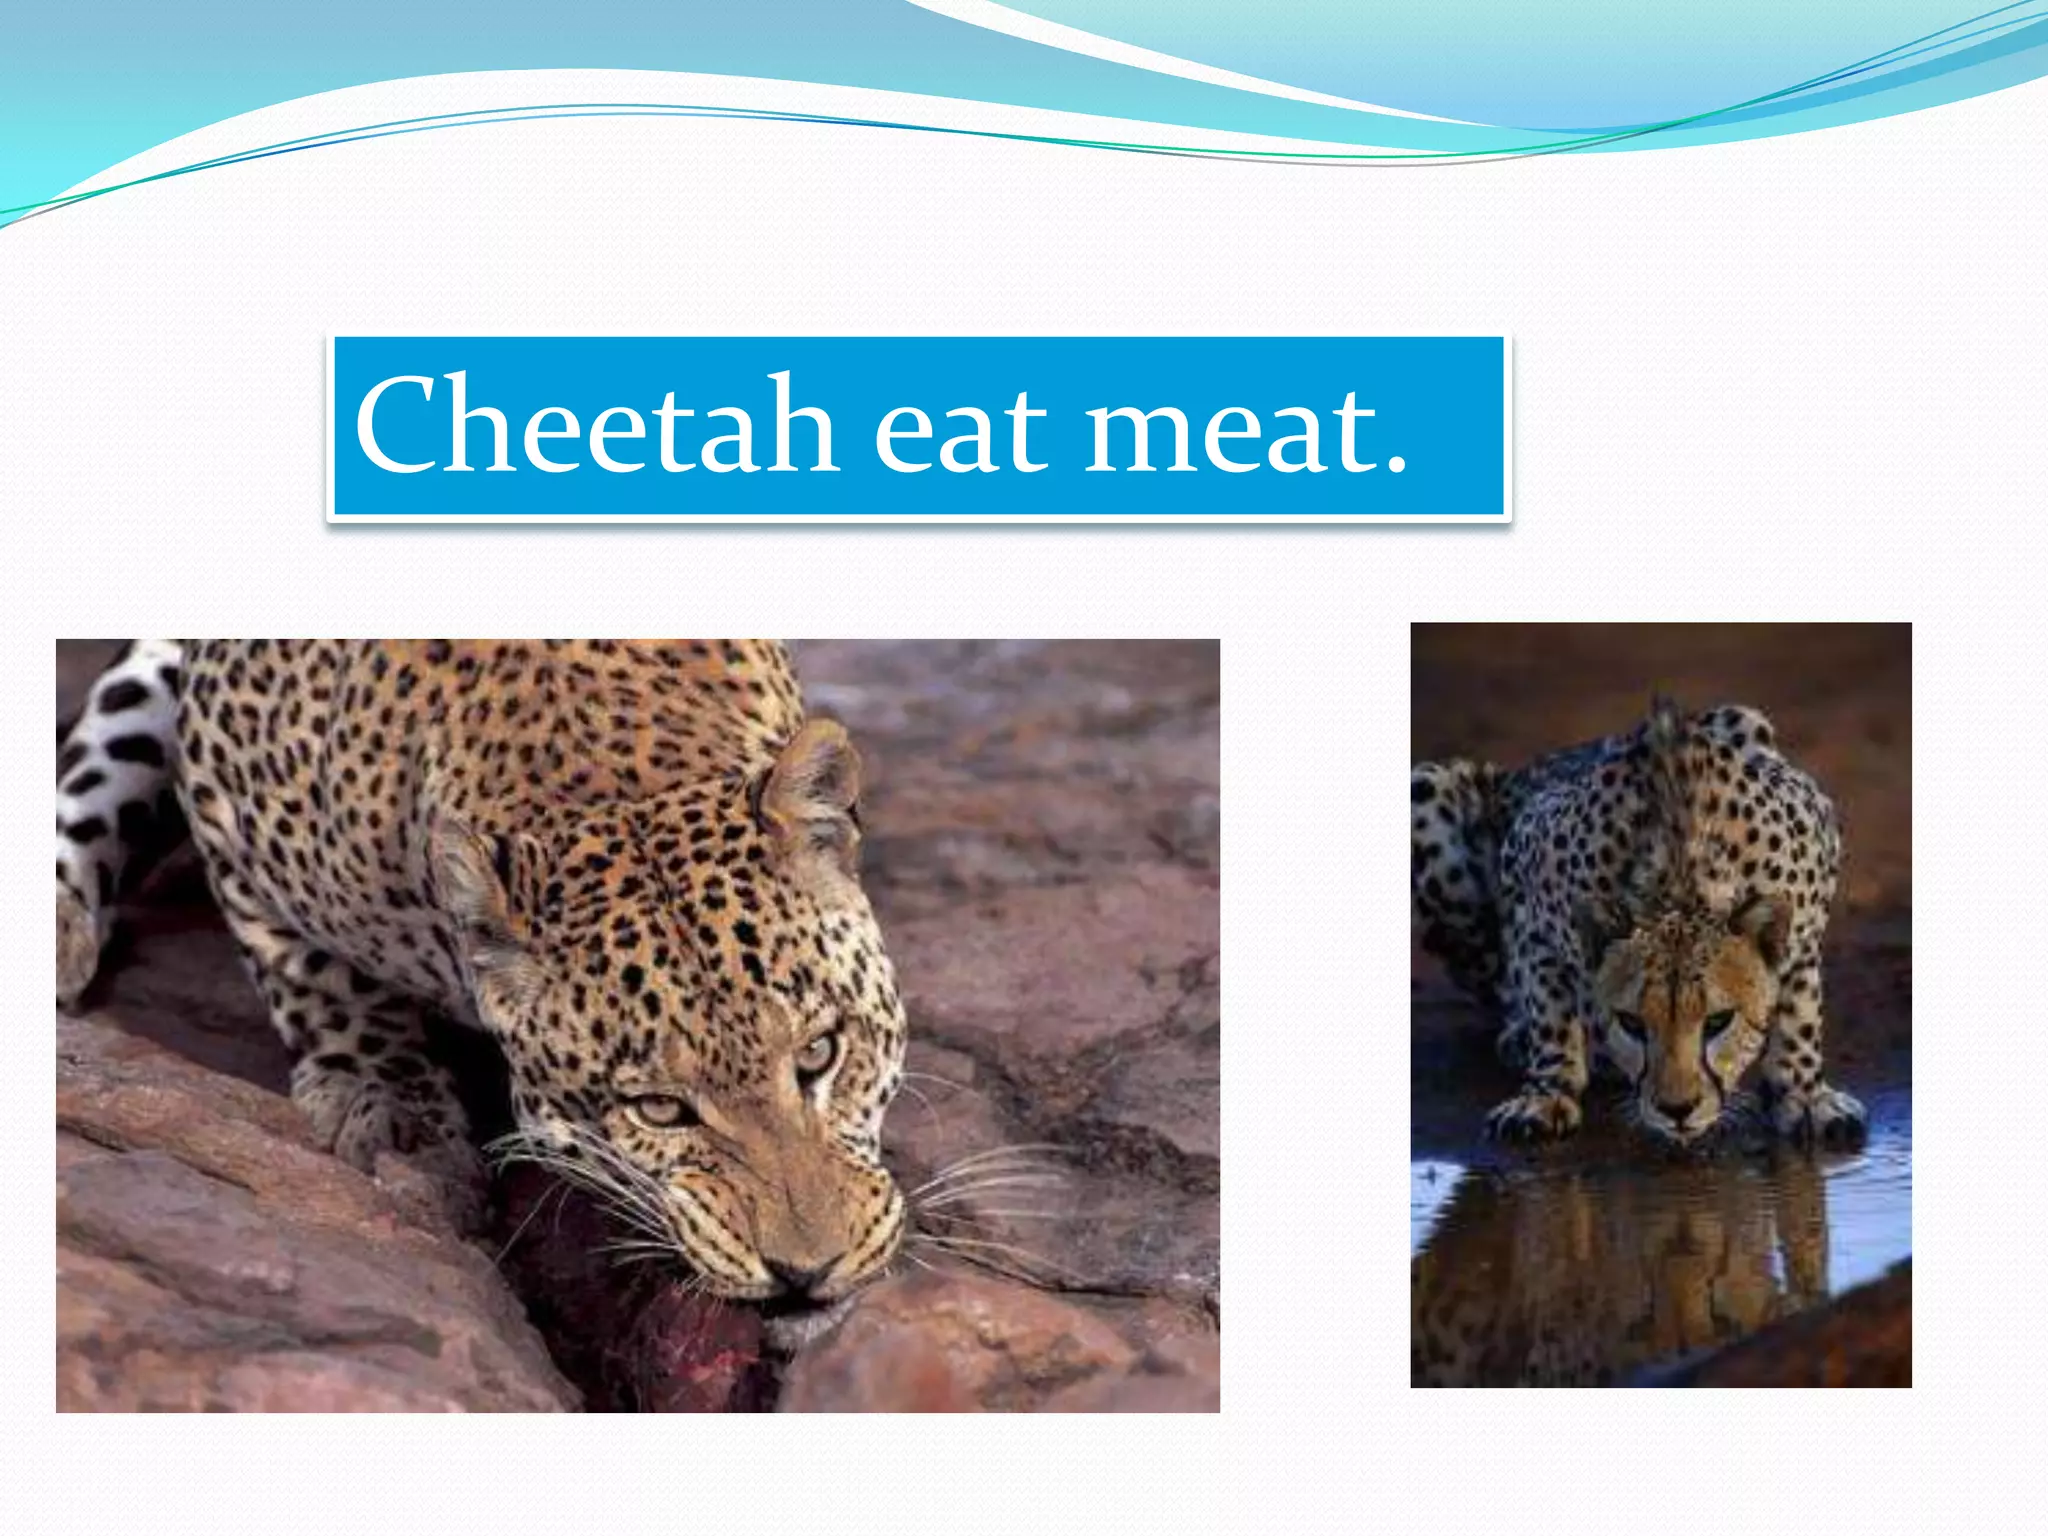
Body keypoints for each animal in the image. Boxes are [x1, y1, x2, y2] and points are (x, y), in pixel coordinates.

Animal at [56, 640, 910, 1345]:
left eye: (821, 1054)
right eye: (659, 1110)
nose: (808, 1271)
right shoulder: (222, 793)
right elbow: (310, 972)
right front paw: (391, 1104)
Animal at [1412, 695, 1867, 1150]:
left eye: (1718, 1022)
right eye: (1631, 1023)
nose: (1677, 1110)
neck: (1682, 875)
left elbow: (1800, 1009)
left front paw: (1803, 1093)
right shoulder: (1524, 872)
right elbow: (1548, 1007)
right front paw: (1546, 1093)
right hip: (1425, 788)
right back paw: (1527, 1038)